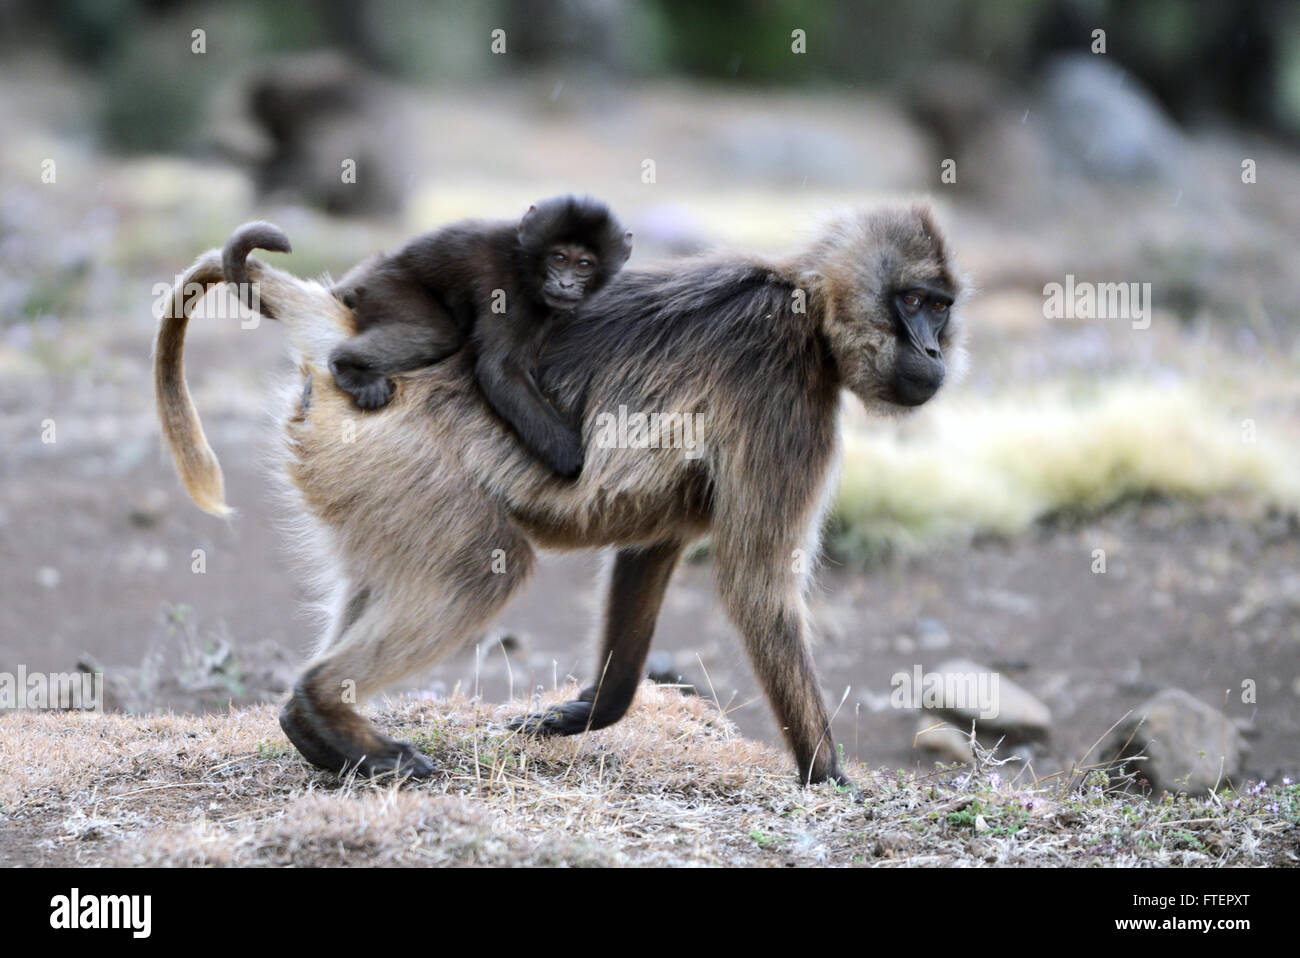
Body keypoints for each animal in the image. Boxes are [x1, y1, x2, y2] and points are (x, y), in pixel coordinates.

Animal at [326, 195, 633, 477]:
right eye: (558, 258)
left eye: (584, 265)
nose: (565, 284)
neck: (524, 263)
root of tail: (368, 272)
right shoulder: (510, 290)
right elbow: (499, 369)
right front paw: (571, 456)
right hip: (386, 288)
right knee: (438, 335)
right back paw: (347, 365)